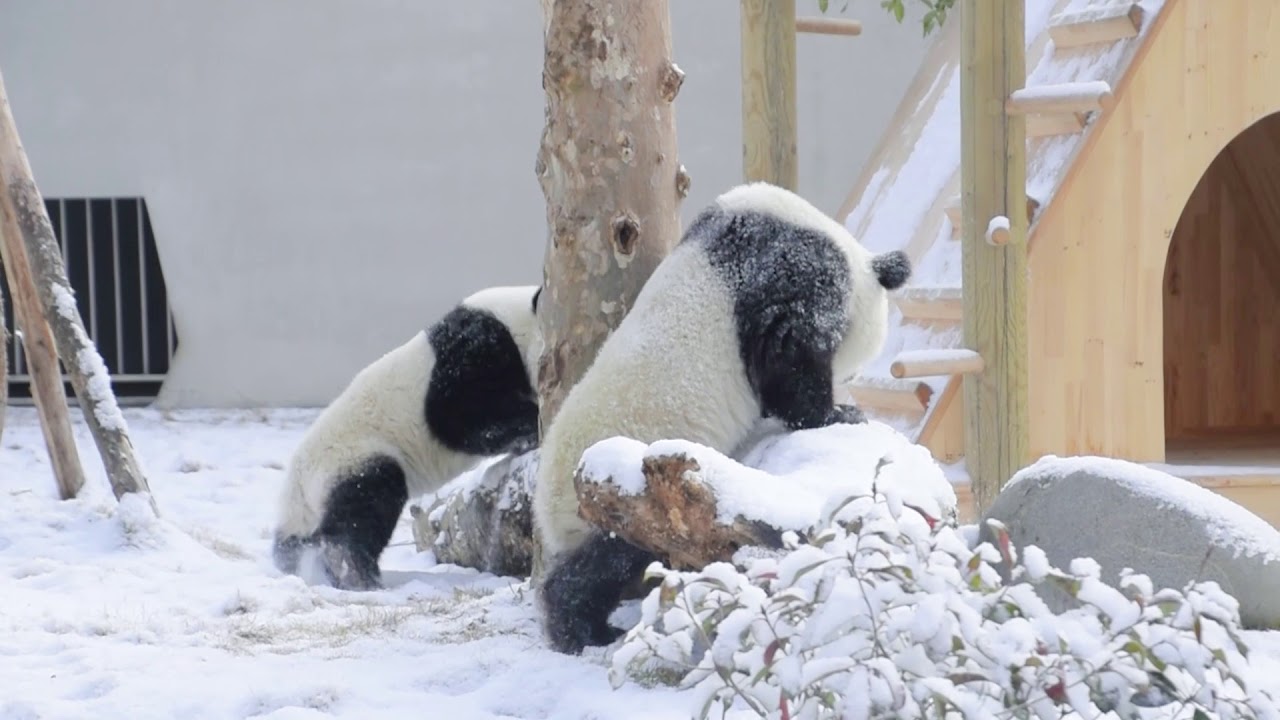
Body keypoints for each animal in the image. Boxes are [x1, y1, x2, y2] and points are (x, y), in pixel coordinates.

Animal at [272, 284, 544, 591]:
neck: (515, 322)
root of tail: (296, 494)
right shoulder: (474, 349)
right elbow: (461, 416)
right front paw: (532, 425)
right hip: (351, 458)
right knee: (364, 506)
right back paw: (358, 574)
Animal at [532, 182, 911, 654]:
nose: (852, 382)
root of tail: (546, 510)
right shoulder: (797, 276)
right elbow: (789, 356)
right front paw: (838, 414)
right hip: (623, 497)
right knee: (608, 559)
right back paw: (584, 630)